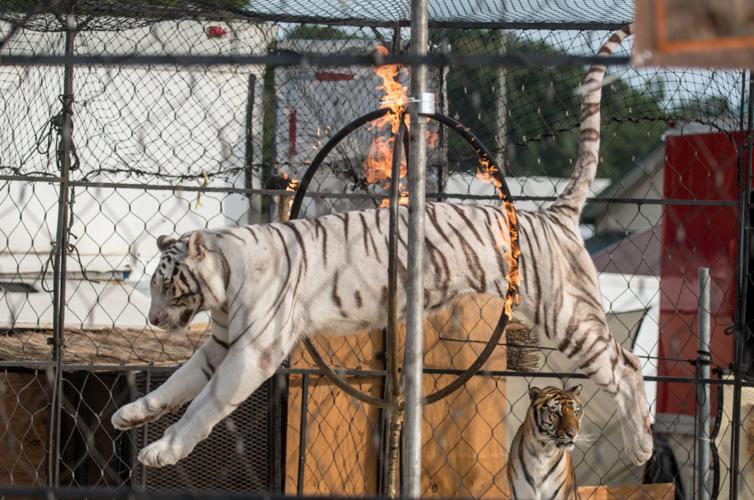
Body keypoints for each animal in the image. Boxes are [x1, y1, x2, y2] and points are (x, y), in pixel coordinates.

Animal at [111, 24, 653, 470]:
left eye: (168, 286)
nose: (153, 319)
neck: (223, 285)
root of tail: (553, 213)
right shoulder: (221, 343)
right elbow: (177, 383)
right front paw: (131, 414)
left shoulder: (253, 351)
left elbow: (204, 405)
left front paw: (161, 451)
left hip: (565, 315)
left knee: (626, 365)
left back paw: (641, 445)